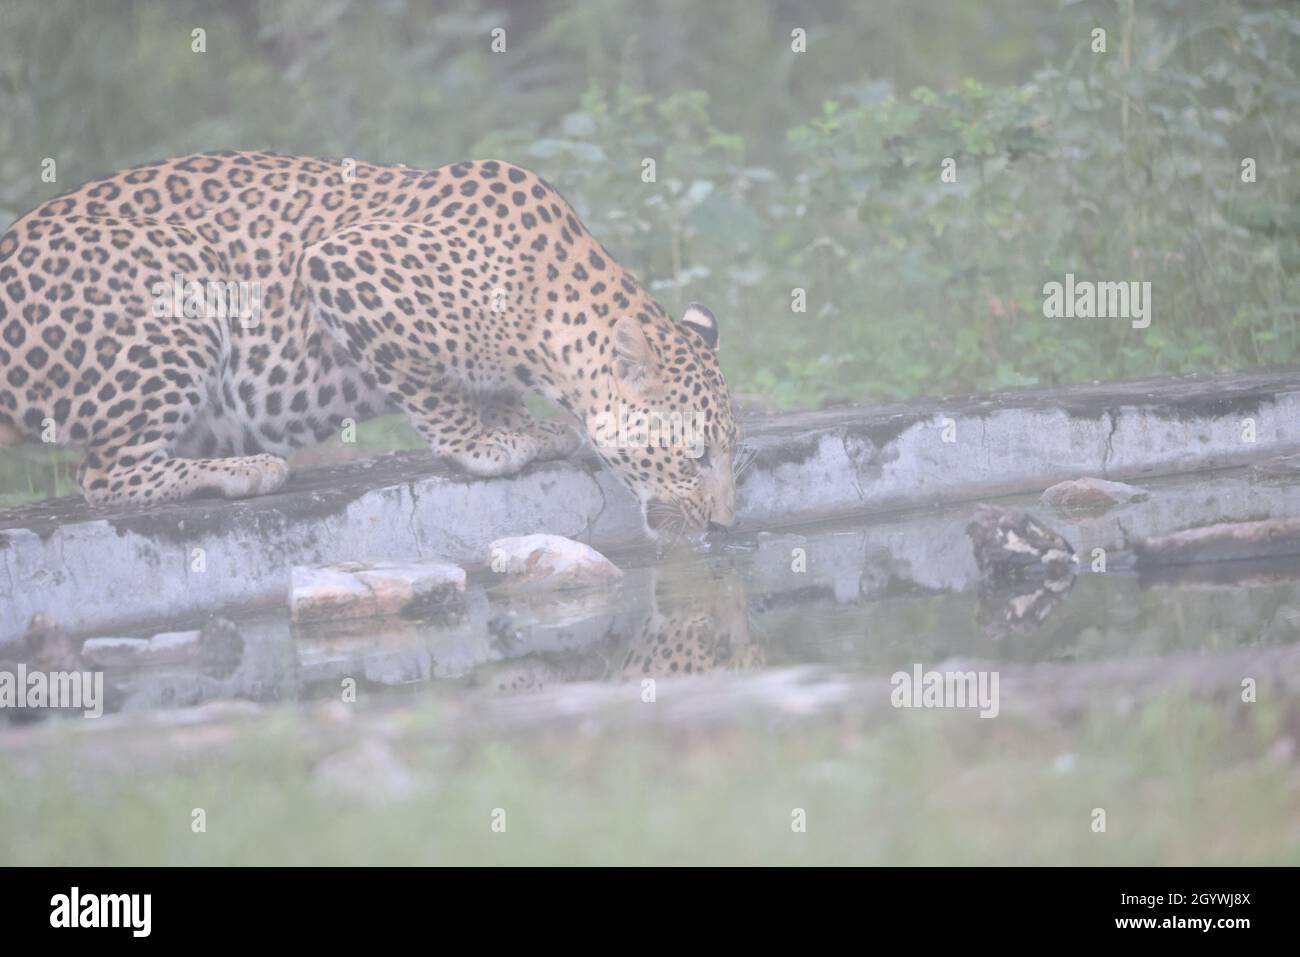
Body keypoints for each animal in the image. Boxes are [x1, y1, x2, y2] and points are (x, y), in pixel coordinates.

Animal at [0, 150, 739, 535]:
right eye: (695, 455)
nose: (727, 524)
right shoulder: (338, 263)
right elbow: (426, 385)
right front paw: (484, 444)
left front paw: (527, 426)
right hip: (176, 278)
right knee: (106, 476)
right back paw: (243, 469)